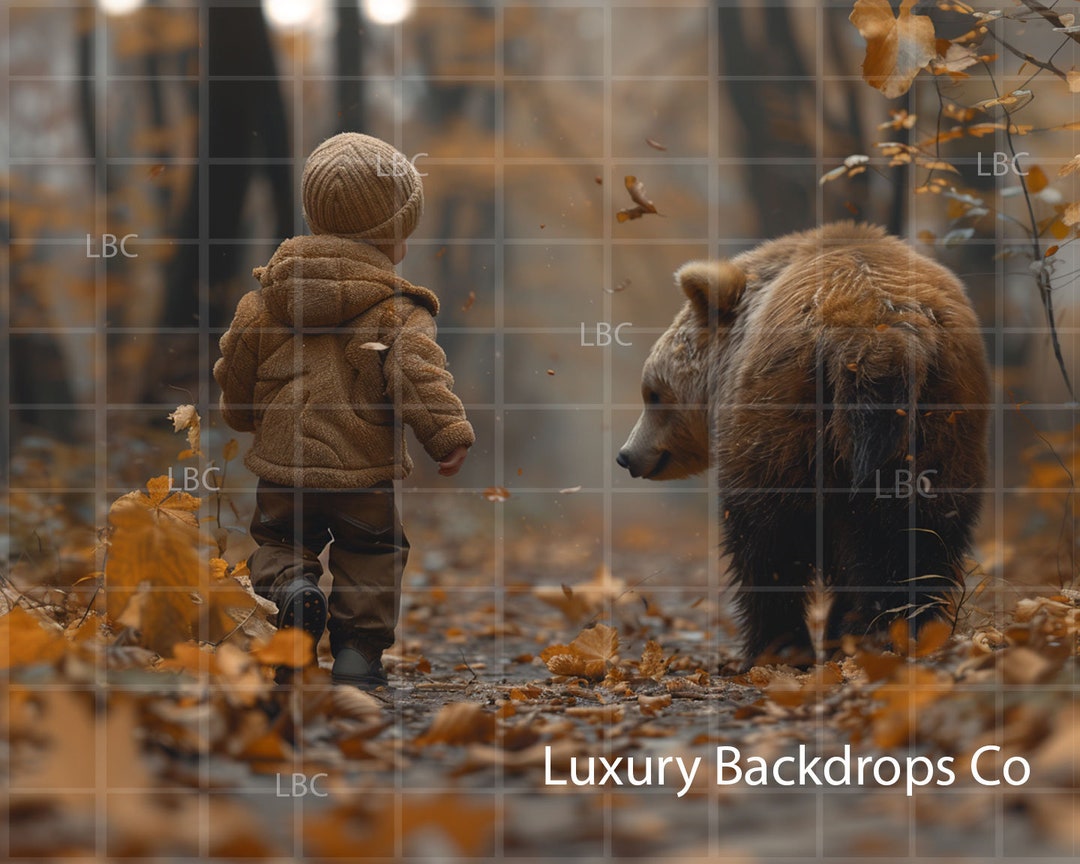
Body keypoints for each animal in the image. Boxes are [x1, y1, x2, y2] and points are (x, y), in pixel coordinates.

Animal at [617, 222, 989, 668]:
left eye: (652, 393)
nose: (626, 455)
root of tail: (876, 340)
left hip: (788, 410)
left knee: (769, 537)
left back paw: (777, 646)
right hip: (942, 417)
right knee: (925, 533)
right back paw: (900, 632)